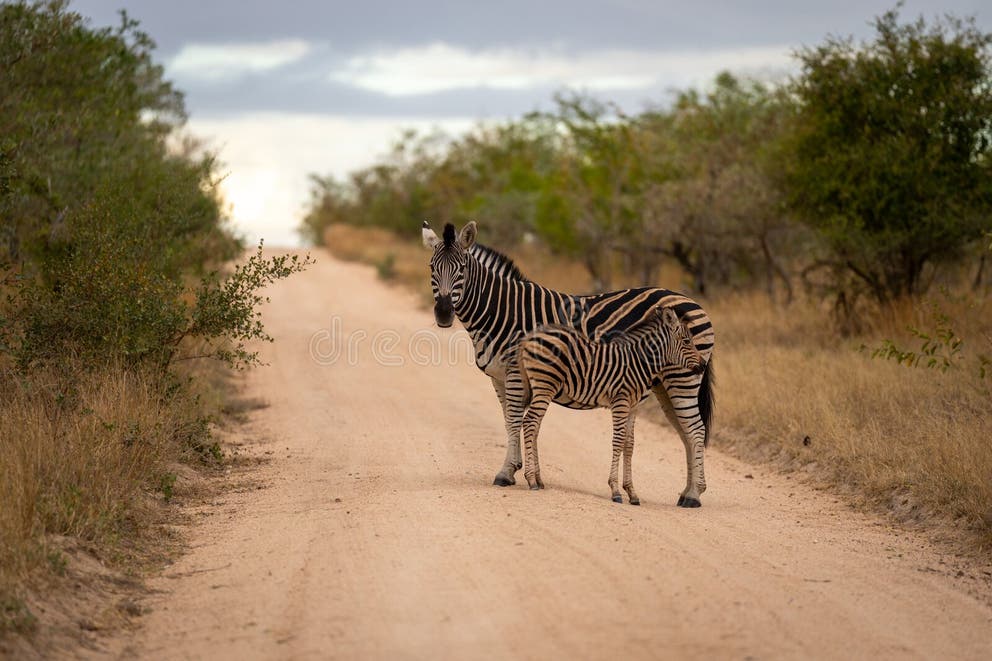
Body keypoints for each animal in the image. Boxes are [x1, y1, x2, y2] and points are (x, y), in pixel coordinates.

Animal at [504, 305, 705, 504]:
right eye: (687, 341)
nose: (703, 365)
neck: (640, 362)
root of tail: (531, 336)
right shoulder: (621, 401)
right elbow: (618, 441)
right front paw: (615, 490)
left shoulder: (633, 407)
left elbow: (629, 444)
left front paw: (632, 492)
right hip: (545, 385)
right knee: (530, 423)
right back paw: (531, 479)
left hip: (542, 388)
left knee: (534, 426)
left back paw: (538, 479)